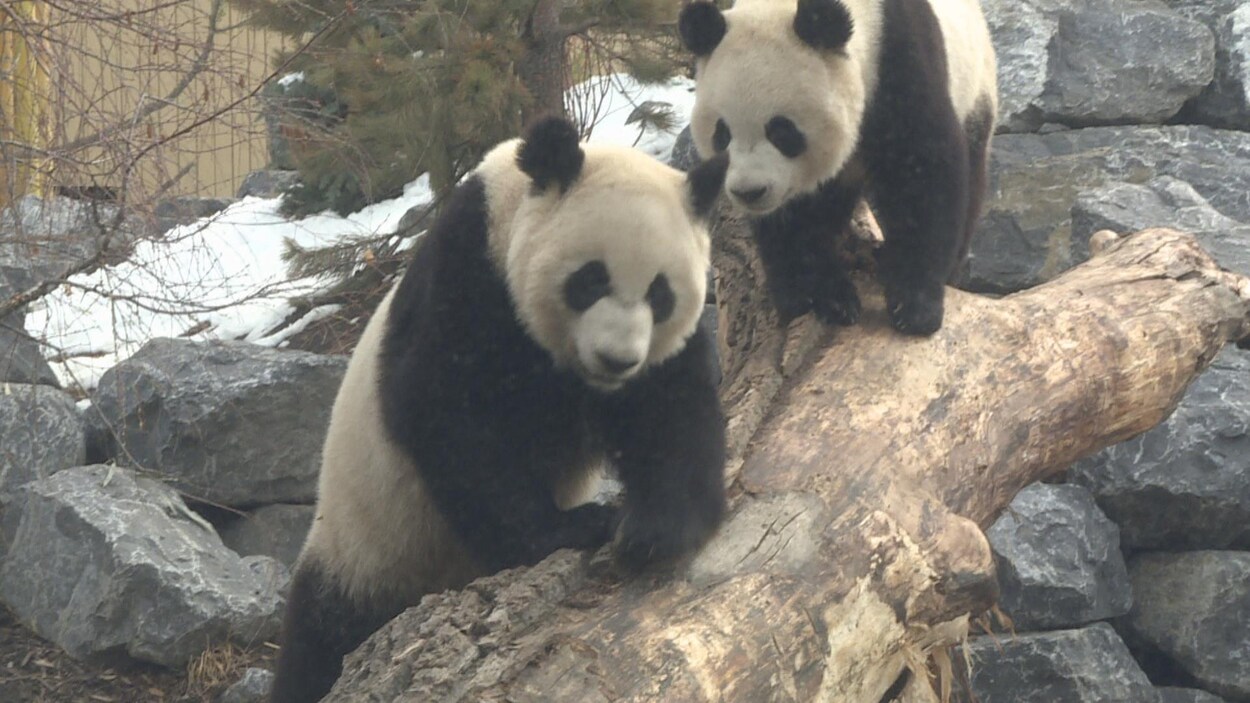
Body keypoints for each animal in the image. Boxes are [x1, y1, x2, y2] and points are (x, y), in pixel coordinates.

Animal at [269, 117, 731, 703]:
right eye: (591, 279)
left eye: (660, 294)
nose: (617, 359)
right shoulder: (469, 278)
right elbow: (451, 420)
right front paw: (573, 526)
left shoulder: (656, 355)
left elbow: (668, 413)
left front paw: (654, 531)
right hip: (366, 549)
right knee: (320, 641)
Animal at [678, 0, 998, 335]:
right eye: (722, 134)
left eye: (781, 131)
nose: (749, 192)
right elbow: (795, 221)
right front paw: (820, 297)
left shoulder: (899, 62)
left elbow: (922, 175)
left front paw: (914, 307)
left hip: (976, 88)